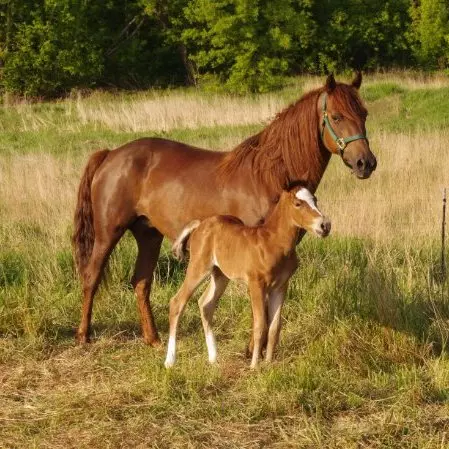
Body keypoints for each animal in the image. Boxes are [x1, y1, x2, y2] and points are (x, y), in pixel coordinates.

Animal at [72, 73, 374, 346]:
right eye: (336, 117)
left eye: (364, 114)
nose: (366, 163)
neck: (267, 175)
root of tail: (110, 154)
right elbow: (259, 310)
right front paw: (252, 352)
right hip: (108, 232)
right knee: (91, 276)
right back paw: (84, 336)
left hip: (148, 235)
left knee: (141, 282)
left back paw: (154, 340)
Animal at [164, 183, 328, 368]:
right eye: (298, 203)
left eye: (315, 200)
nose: (324, 225)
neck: (273, 242)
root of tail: (200, 224)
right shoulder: (256, 284)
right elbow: (260, 324)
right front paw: (254, 365)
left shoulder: (280, 286)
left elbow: (274, 326)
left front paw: (268, 363)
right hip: (198, 267)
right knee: (177, 302)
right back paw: (170, 361)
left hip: (220, 275)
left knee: (205, 304)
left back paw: (213, 358)